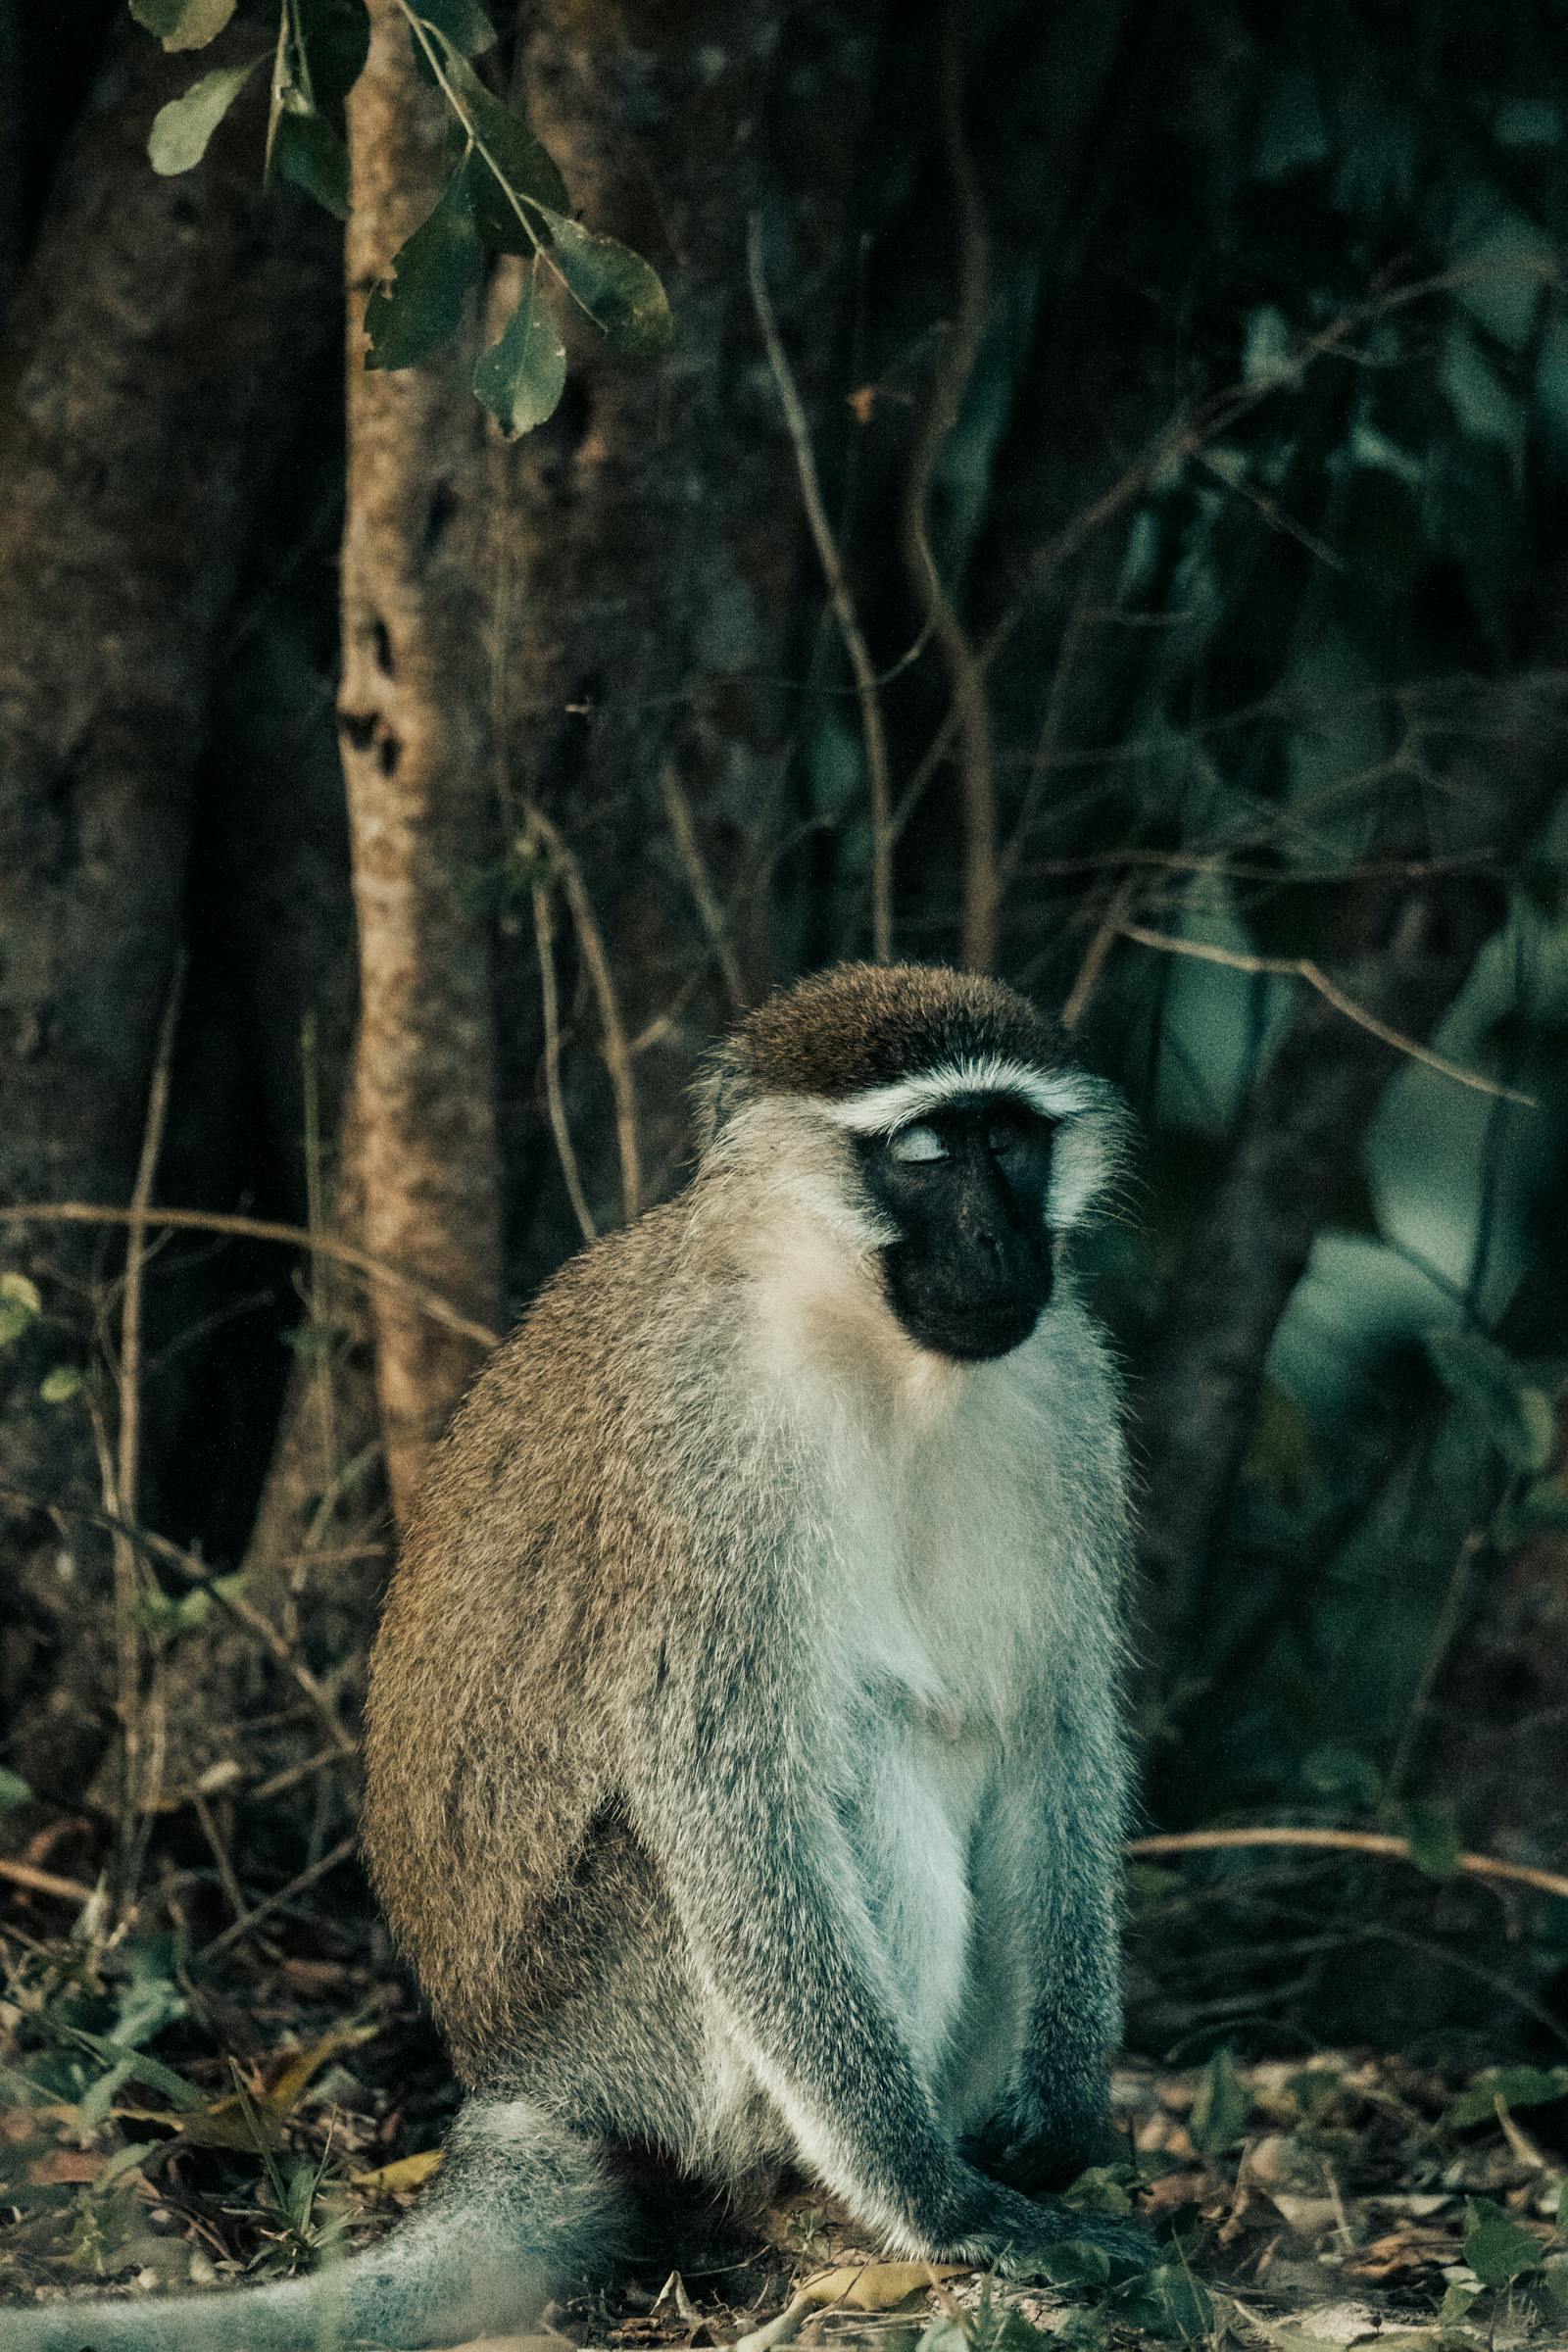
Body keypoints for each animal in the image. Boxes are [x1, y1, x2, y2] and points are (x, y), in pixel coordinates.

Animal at [3, 962, 1144, 2352]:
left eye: (1014, 1144)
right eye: (925, 1154)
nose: (998, 1245)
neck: (864, 1347)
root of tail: (524, 2077)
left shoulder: (1064, 1389)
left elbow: (1057, 1726)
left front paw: (1065, 2105)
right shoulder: (699, 1452)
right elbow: (727, 1799)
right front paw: (936, 2198)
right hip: (627, 2016)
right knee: (851, 1765)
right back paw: (818, 2195)